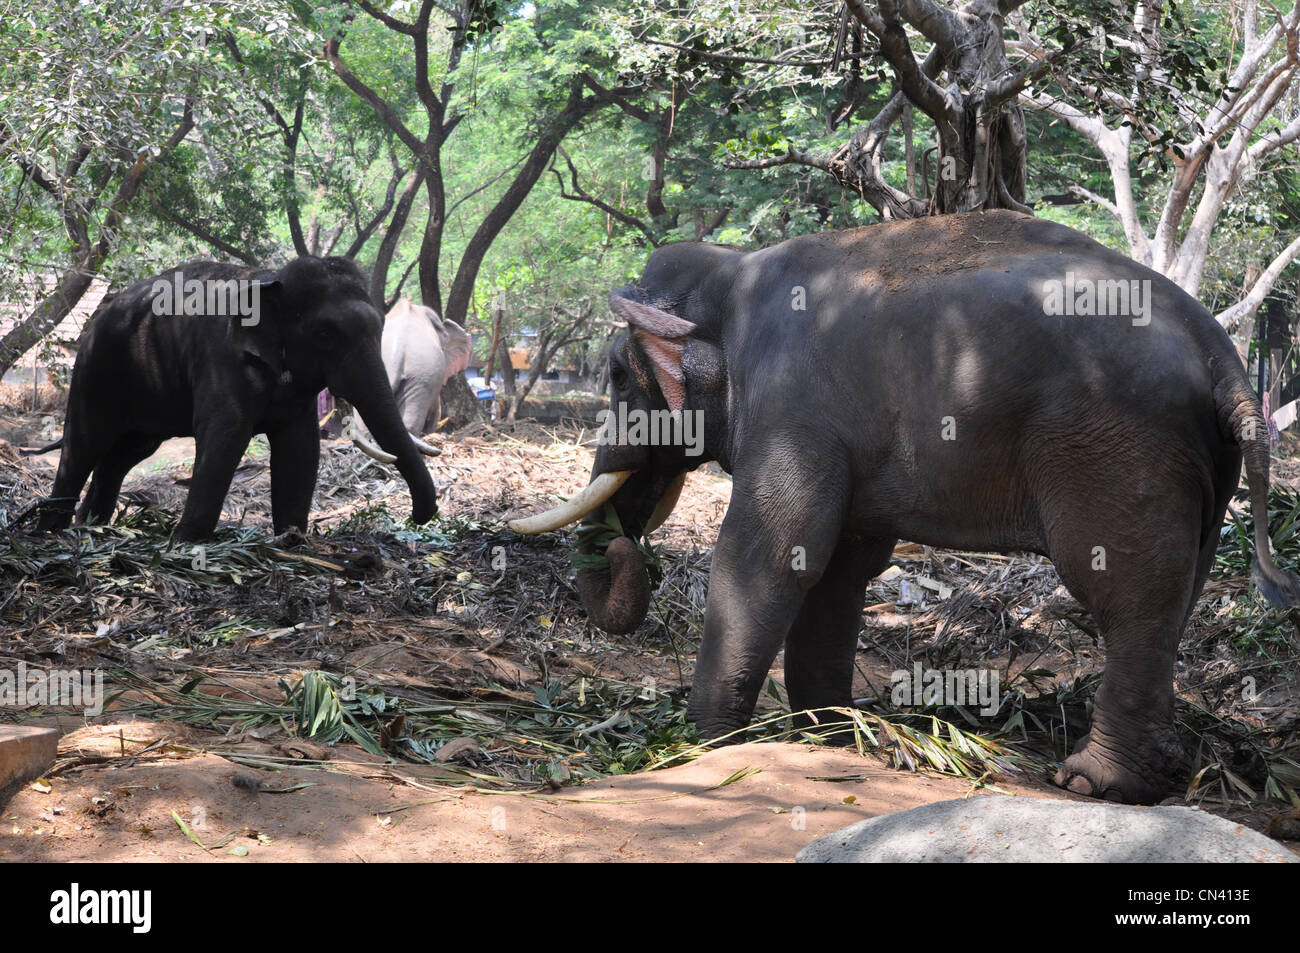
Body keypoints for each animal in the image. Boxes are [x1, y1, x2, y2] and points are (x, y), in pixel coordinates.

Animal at [32, 256, 440, 540]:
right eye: (325, 334)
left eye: (379, 327)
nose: (415, 517)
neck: (273, 278)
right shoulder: (221, 357)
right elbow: (226, 434)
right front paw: (185, 542)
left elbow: (300, 445)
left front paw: (293, 539)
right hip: (95, 370)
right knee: (84, 444)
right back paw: (50, 530)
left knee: (125, 454)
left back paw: (94, 527)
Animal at [510, 209, 1300, 805]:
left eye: (616, 375)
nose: (623, 547)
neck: (731, 272)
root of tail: (1221, 353)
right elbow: (837, 567)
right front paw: (828, 734)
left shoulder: (793, 407)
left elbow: (770, 553)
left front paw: (706, 742)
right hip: (1197, 466)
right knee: (1176, 593)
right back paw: (1166, 773)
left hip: (1119, 448)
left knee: (1127, 594)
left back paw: (1091, 782)